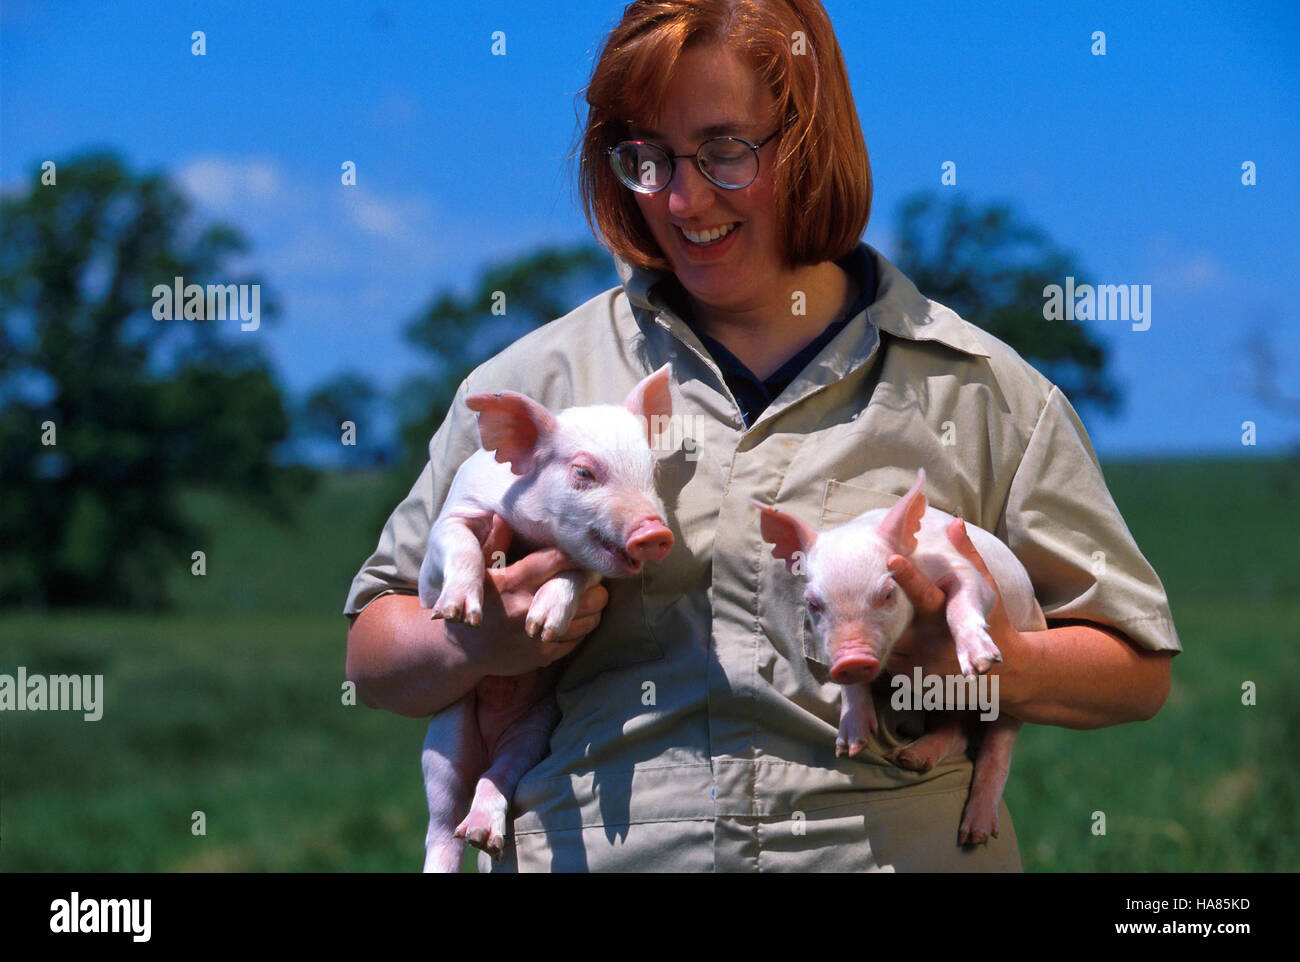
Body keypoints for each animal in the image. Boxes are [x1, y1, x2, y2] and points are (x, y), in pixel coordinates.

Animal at [417, 364, 675, 872]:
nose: (655, 532)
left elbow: (575, 573)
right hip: (444, 737)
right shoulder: (454, 518)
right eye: (583, 472)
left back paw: (484, 836)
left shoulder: (592, 572)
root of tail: (489, 740)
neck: (532, 534)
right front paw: (459, 614)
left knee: (499, 777)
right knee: (440, 826)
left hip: (533, 730)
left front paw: (541, 627)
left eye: (654, 470)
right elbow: (460, 544)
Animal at [752, 468, 1047, 845]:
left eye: (888, 593)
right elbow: (851, 689)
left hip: (1018, 688)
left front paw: (980, 663)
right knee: (956, 732)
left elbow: (965, 598)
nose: (852, 659)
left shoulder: (963, 568)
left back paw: (974, 835)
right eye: (813, 603)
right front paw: (848, 746)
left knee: (998, 750)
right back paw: (909, 759)